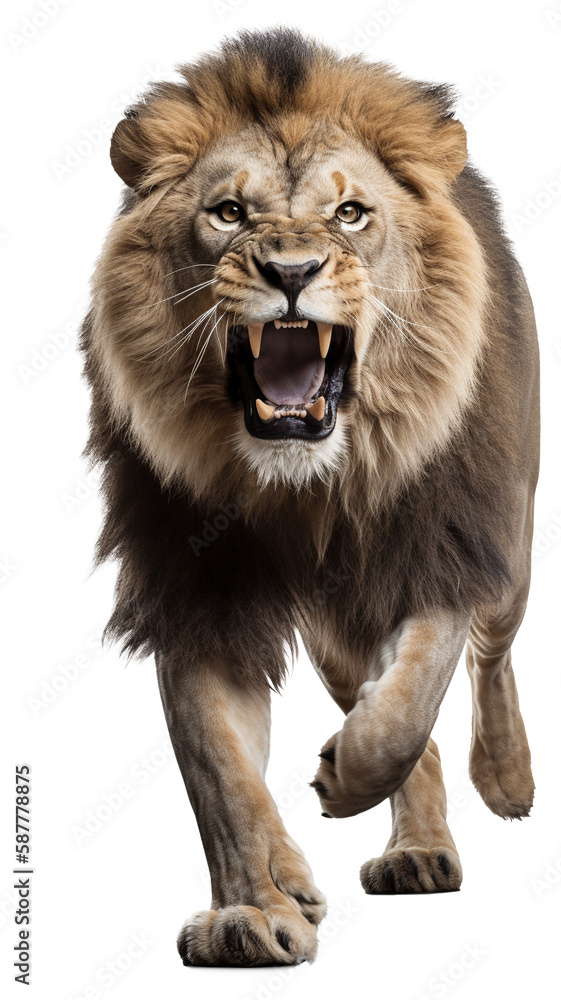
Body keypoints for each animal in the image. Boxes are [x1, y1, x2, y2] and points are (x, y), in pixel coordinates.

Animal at [80, 29, 540, 967]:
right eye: (228, 213)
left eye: (351, 214)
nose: (290, 270)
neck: (306, 489)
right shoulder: (196, 590)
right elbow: (219, 773)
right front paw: (256, 908)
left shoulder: (438, 550)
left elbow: (405, 708)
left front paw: (344, 776)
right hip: (335, 634)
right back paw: (413, 851)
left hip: (508, 544)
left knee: (490, 659)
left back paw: (504, 779)